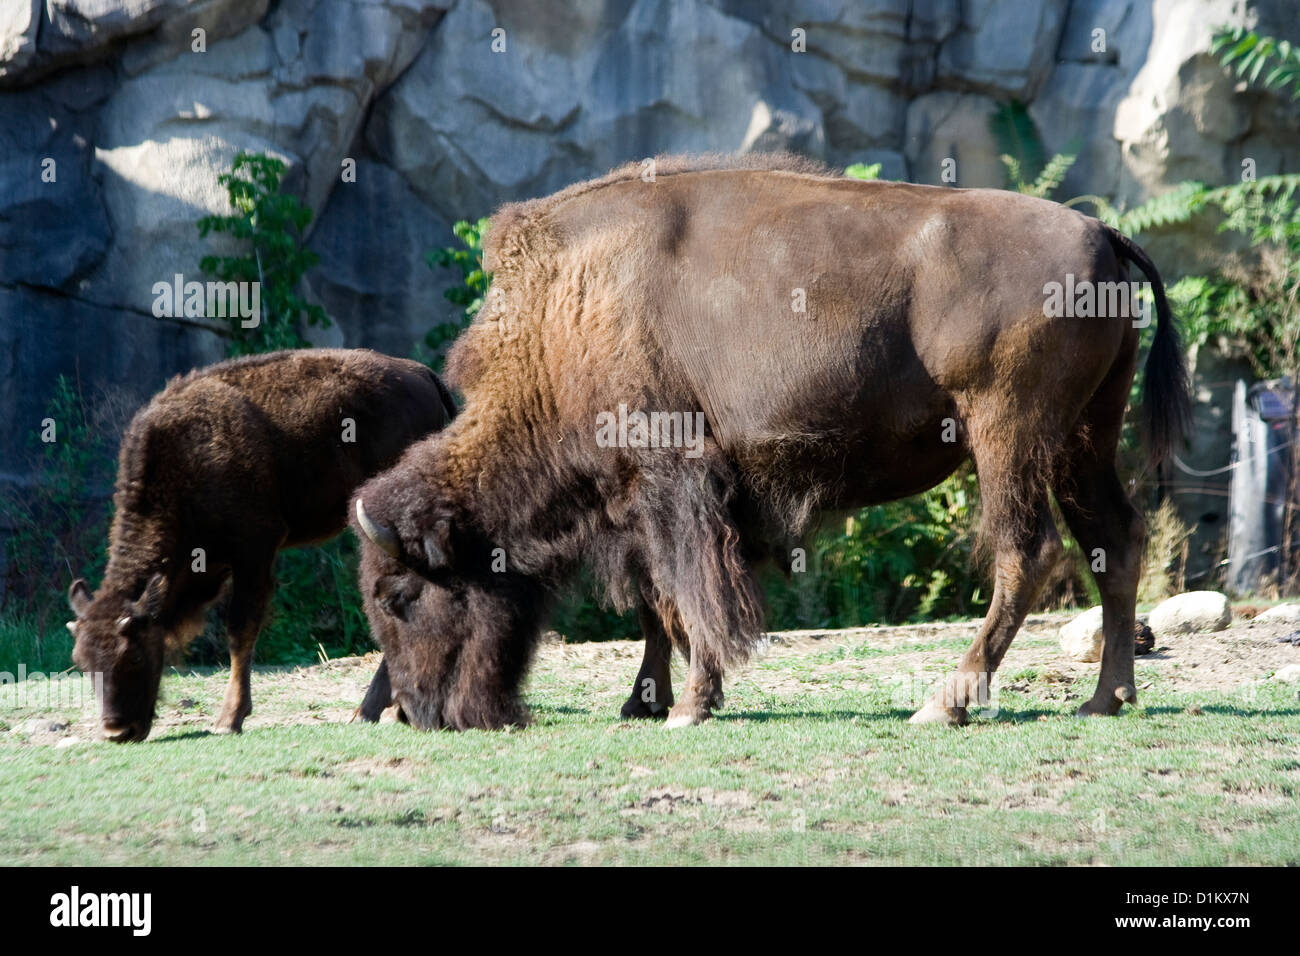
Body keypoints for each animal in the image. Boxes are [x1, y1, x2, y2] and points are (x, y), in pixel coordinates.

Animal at [68, 349, 455, 741]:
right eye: (81, 663)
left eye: (133, 654)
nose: (116, 731)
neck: (184, 462)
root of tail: (424, 376)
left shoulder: (254, 552)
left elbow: (240, 630)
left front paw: (229, 719)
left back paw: (370, 711)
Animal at [352, 153, 1190, 731]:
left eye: (400, 595)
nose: (418, 714)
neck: (569, 311)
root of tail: (1101, 232)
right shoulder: (644, 502)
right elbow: (660, 602)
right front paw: (650, 701)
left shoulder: (671, 482)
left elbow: (689, 593)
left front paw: (687, 707)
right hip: (1084, 436)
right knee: (1114, 541)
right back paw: (1106, 699)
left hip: (1007, 433)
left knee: (1028, 550)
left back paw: (944, 702)